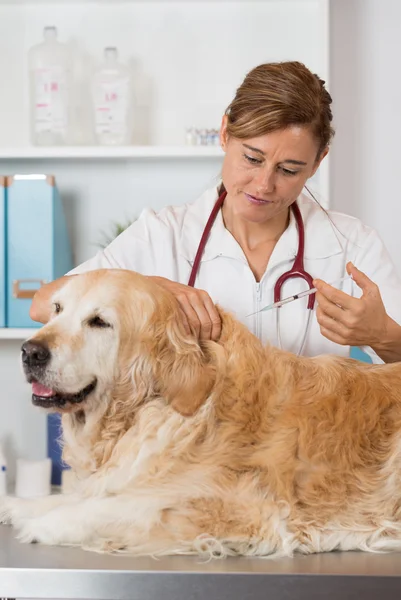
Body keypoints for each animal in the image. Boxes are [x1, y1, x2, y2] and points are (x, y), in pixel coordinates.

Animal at [2, 268, 400, 556]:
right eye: (57, 309)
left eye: (99, 322)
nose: (30, 351)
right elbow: (68, 497)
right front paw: (14, 506)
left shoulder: (232, 506)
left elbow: (101, 509)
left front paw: (43, 524)